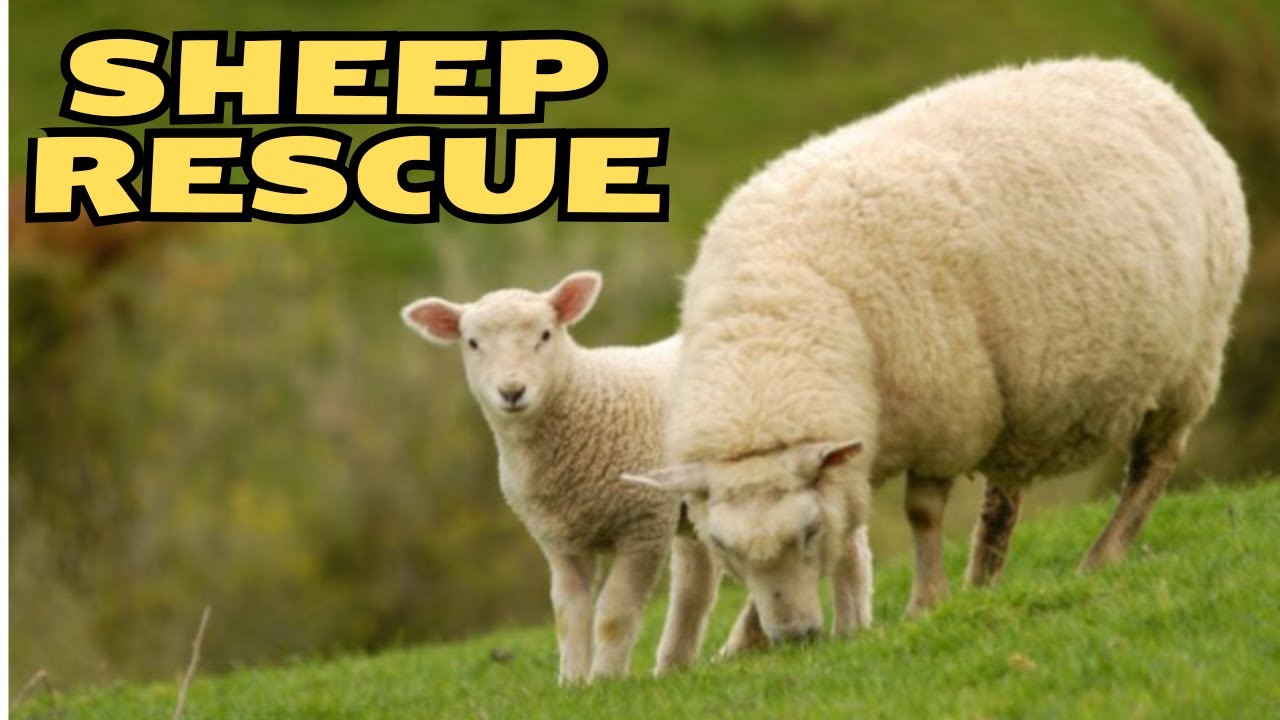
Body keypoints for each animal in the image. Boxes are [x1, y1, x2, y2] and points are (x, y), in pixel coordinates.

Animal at [400, 271, 718, 683]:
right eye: (472, 343)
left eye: (546, 334)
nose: (512, 391)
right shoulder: (559, 540)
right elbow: (569, 615)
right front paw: (573, 683)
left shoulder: (643, 526)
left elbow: (613, 614)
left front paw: (606, 679)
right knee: (698, 579)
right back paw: (678, 664)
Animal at [626, 58, 1250, 645]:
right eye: (724, 546)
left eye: (808, 532)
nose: (796, 636)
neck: (772, 323)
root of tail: (1144, 80)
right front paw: (744, 642)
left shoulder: (947, 418)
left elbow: (921, 513)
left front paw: (925, 603)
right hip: (1020, 397)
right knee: (1004, 496)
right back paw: (983, 581)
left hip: (1187, 364)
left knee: (1153, 462)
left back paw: (1105, 553)